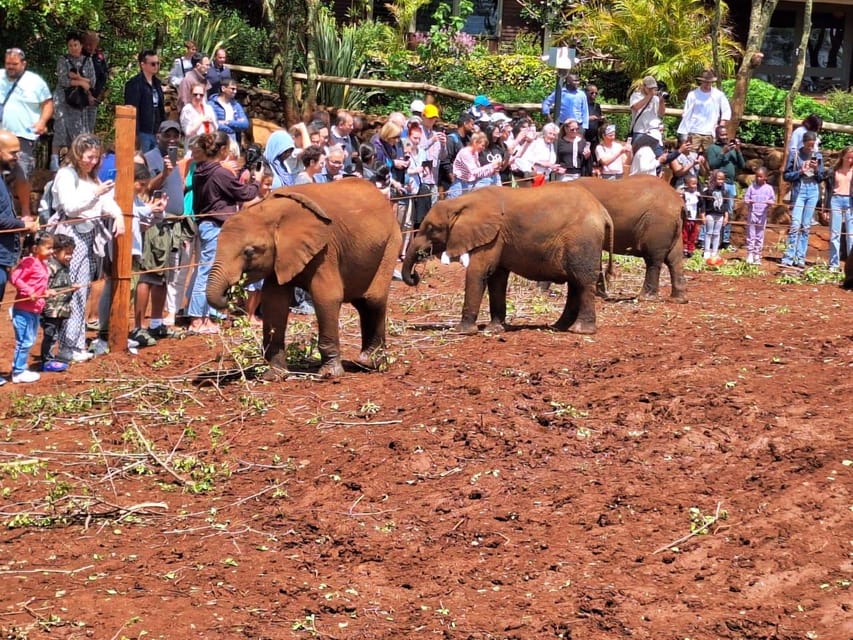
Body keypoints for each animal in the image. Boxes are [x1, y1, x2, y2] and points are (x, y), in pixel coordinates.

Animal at [206, 180, 402, 378]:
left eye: (249, 252)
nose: (230, 292)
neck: (270, 210)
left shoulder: (325, 250)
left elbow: (327, 297)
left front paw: (330, 375)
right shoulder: (281, 257)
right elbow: (274, 303)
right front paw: (274, 376)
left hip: (391, 242)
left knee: (373, 299)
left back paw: (371, 364)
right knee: (362, 303)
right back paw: (366, 362)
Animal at [401, 184, 614, 335]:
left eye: (431, 228)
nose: (415, 275)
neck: (461, 202)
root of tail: (603, 212)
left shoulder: (493, 235)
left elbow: (479, 271)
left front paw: (462, 332)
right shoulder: (499, 237)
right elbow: (496, 278)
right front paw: (494, 329)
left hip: (582, 240)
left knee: (583, 281)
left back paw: (581, 331)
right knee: (575, 283)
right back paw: (557, 327)